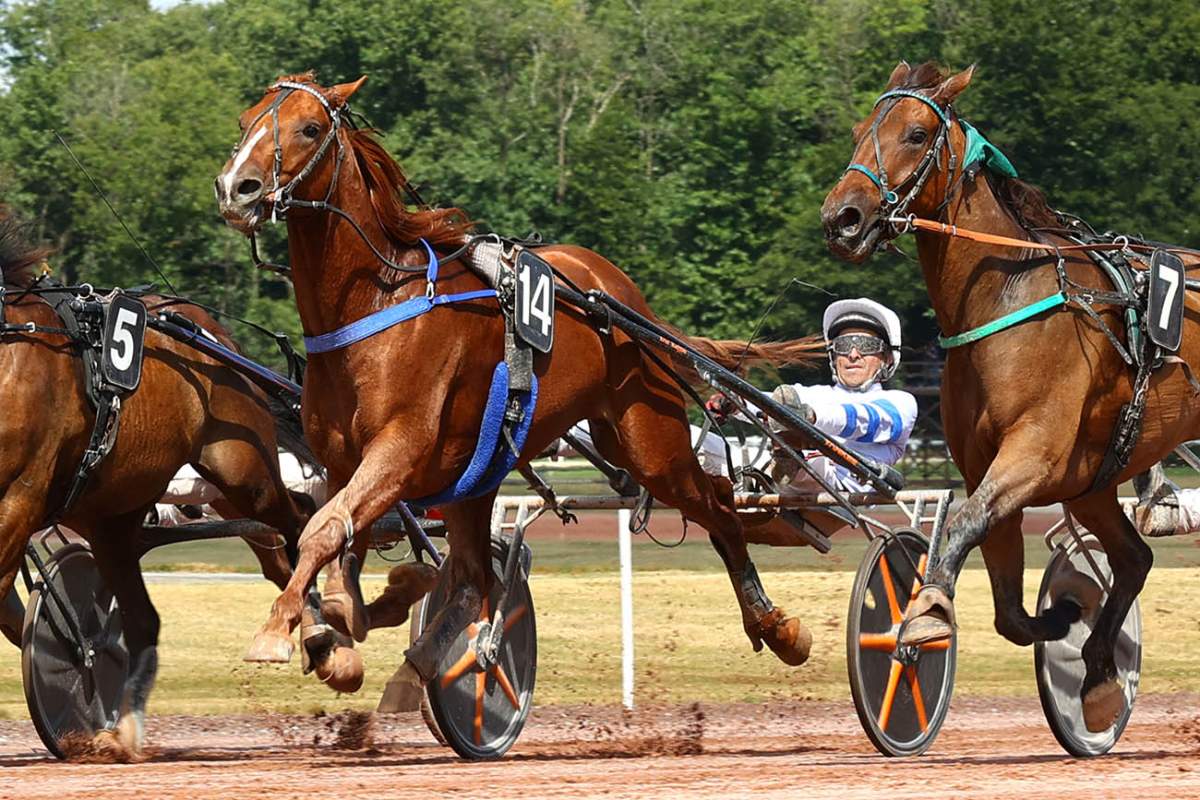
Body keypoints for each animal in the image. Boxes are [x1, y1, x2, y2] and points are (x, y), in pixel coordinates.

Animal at [0, 212, 315, 757]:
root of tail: (211, 331)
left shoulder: (21, 495)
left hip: (241, 469)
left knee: (298, 521)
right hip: (112, 512)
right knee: (145, 616)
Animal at [213, 73, 827, 694]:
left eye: (310, 128)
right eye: (244, 120)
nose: (236, 188)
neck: (375, 300)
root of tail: (622, 295)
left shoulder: (399, 451)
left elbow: (321, 530)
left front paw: (280, 629)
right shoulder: (344, 463)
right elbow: (337, 542)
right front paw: (336, 633)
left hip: (649, 442)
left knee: (719, 504)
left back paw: (777, 627)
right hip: (492, 472)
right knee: (472, 578)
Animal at [820, 61, 1200, 733]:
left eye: (916, 133)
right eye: (862, 129)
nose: (843, 217)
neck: (1004, 299)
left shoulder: (1032, 454)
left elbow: (964, 523)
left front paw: (926, 611)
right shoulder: (992, 468)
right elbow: (1009, 607)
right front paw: (1065, 619)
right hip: (1095, 482)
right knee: (1133, 559)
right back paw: (1098, 676)